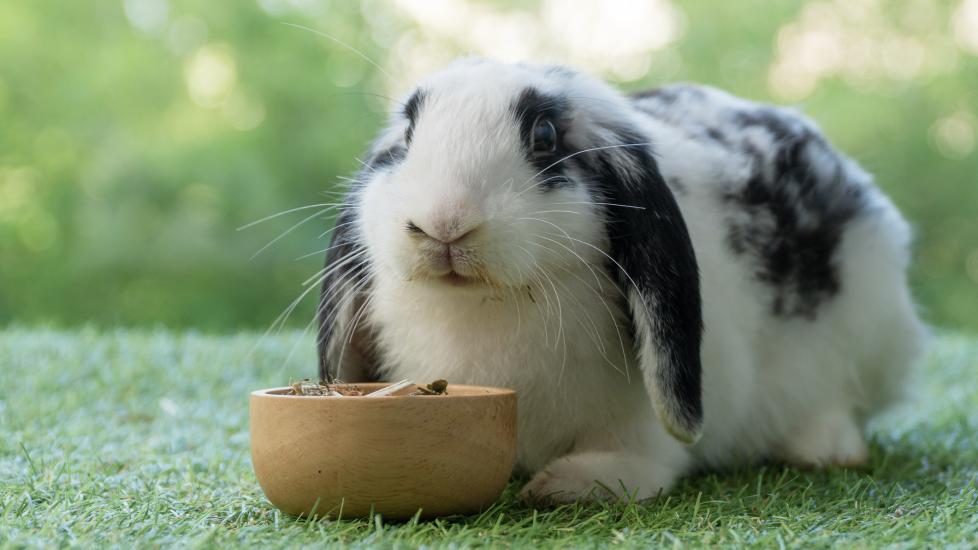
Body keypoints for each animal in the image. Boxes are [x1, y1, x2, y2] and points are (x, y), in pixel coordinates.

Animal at [314, 58, 926, 503]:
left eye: (544, 135)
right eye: (408, 133)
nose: (444, 223)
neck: (484, 304)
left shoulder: (642, 416)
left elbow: (640, 453)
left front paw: (571, 483)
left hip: (872, 327)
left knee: (839, 401)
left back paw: (825, 447)